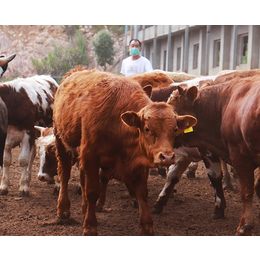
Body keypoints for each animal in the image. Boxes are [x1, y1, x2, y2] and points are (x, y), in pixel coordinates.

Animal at [51, 67, 196, 236]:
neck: (116, 122)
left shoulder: (139, 161)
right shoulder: (90, 156)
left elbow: (142, 192)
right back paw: (63, 210)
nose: (167, 157)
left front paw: (147, 227)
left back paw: (84, 208)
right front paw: (90, 226)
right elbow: (92, 190)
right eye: (147, 129)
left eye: (175, 129)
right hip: (61, 141)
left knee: (81, 176)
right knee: (64, 173)